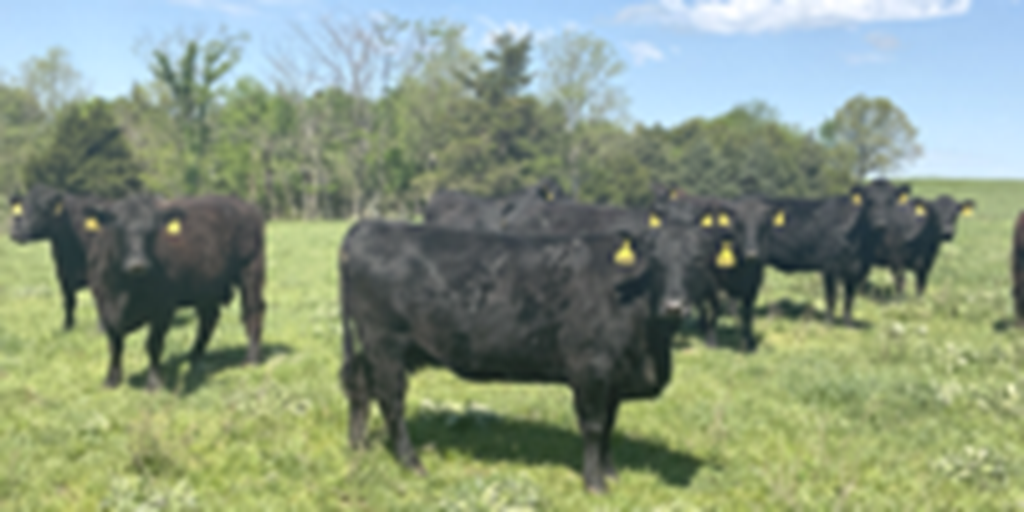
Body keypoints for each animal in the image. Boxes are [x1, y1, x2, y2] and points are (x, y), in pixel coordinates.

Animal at [8, 185, 102, 329]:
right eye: (21, 209)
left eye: (40, 210)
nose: (15, 231)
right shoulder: (63, 274)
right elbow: (69, 301)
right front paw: (67, 326)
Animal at [82, 193, 266, 390]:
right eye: (117, 229)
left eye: (153, 232)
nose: (138, 264)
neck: (125, 291)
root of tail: (243, 204)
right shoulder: (104, 306)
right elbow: (115, 344)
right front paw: (111, 379)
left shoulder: (163, 307)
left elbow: (153, 344)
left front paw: (154, 382)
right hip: (206, 287)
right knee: (209, 318)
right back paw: (194, 354)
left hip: (251, 271)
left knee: (253, 311)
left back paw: (251, 358)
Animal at [338, 220, 733, 492]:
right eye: (656, 261)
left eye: (699, 259)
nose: (674, 306)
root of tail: (370, 225)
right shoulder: (591, 369)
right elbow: (594, 427)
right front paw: (594, 483)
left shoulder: (614, 377)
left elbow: (609, 426)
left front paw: (610, 473)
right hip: (385, 344)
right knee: (391, 401)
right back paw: (411, 462)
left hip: (373, 349)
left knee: (359, 388)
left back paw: (357, 446)